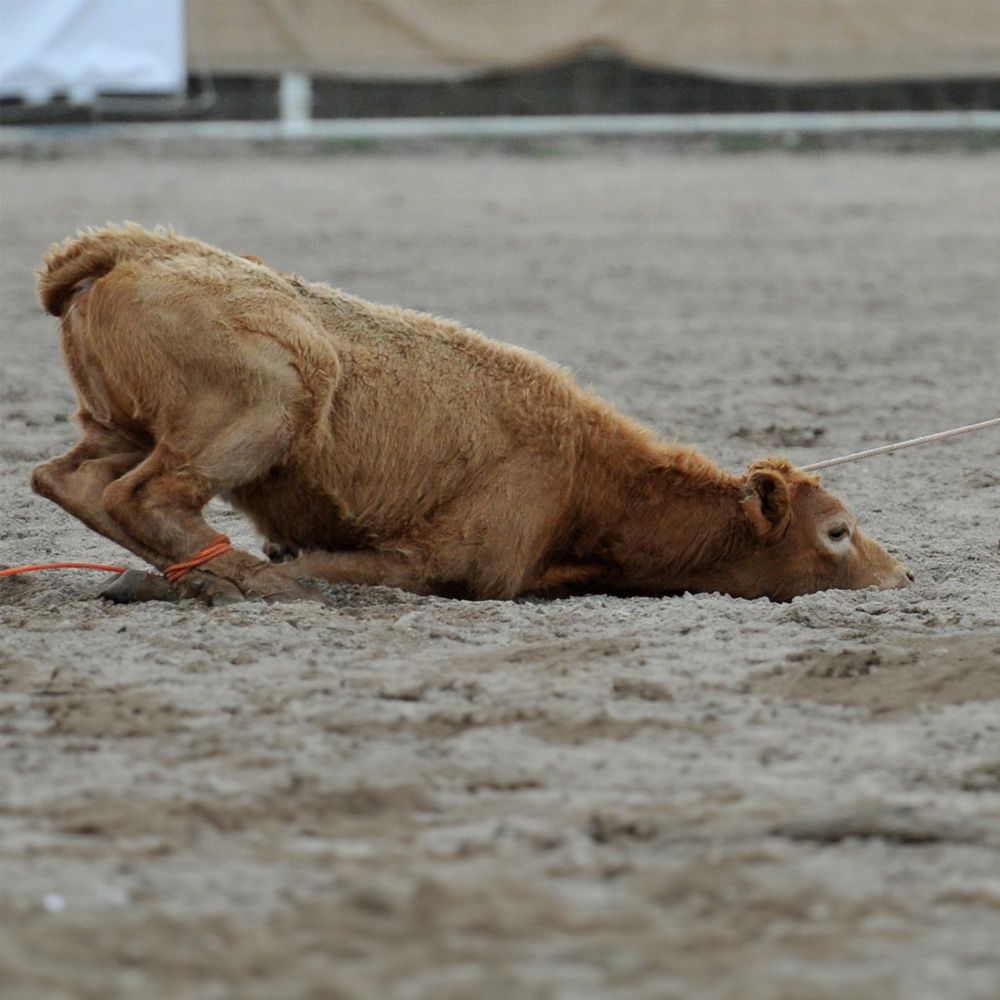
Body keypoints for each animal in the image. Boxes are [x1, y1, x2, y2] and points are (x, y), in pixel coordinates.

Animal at [31, 224, 912, 606]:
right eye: (837, 530)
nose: (904, 576)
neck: (586, 481)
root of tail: (135, 246)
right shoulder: (448, 556)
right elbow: (360, 567)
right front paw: (285, 570)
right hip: (276, 393)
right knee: (144, 496)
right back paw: (249, 578)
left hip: (122, 425)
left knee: (71, 479)